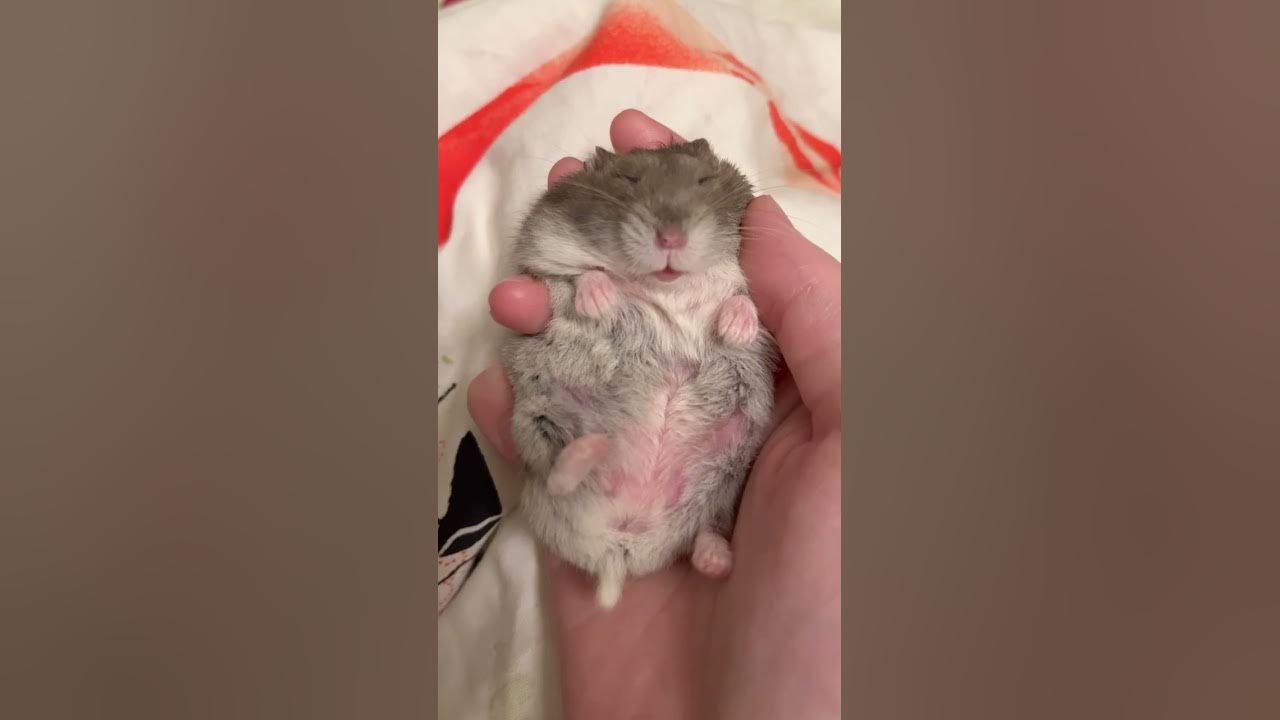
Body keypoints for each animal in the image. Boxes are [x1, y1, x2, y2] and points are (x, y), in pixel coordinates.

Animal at [501, 139, 777, 609]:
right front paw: (601, 301)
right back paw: (588, 452)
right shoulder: (542, 255)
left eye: (704, 180)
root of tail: (623, 545)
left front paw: (735, 330)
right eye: (628, 180)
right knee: (557, 476)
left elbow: (739, 298)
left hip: (732, 470)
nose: (670, 238)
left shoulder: (737, 285)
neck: (663, 284)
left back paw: (717, 560)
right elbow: (583, 275)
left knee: (710, 529)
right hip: (538, 420)